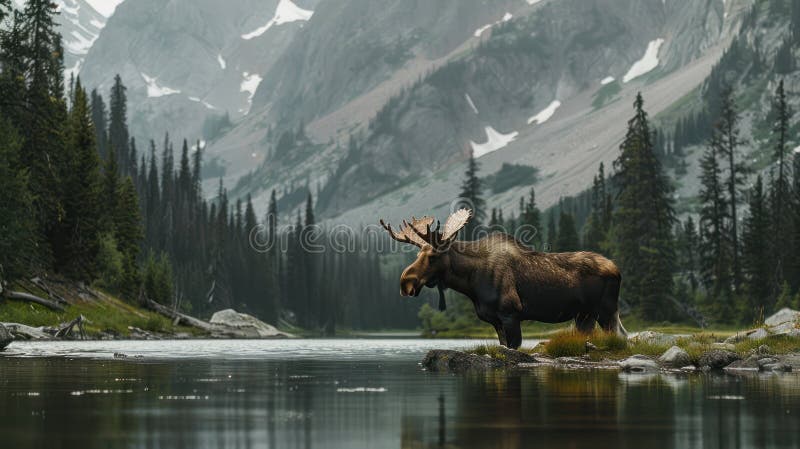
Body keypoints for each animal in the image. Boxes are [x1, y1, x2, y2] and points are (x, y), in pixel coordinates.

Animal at [380, 209, 626, 349]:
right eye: (417, 255)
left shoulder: (511, 313)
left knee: (619, 337)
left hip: (606, 310)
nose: (405, 282)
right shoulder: (495, 320)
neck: (472, 284)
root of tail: (617, 270)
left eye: (432, 256)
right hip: (584, 316)